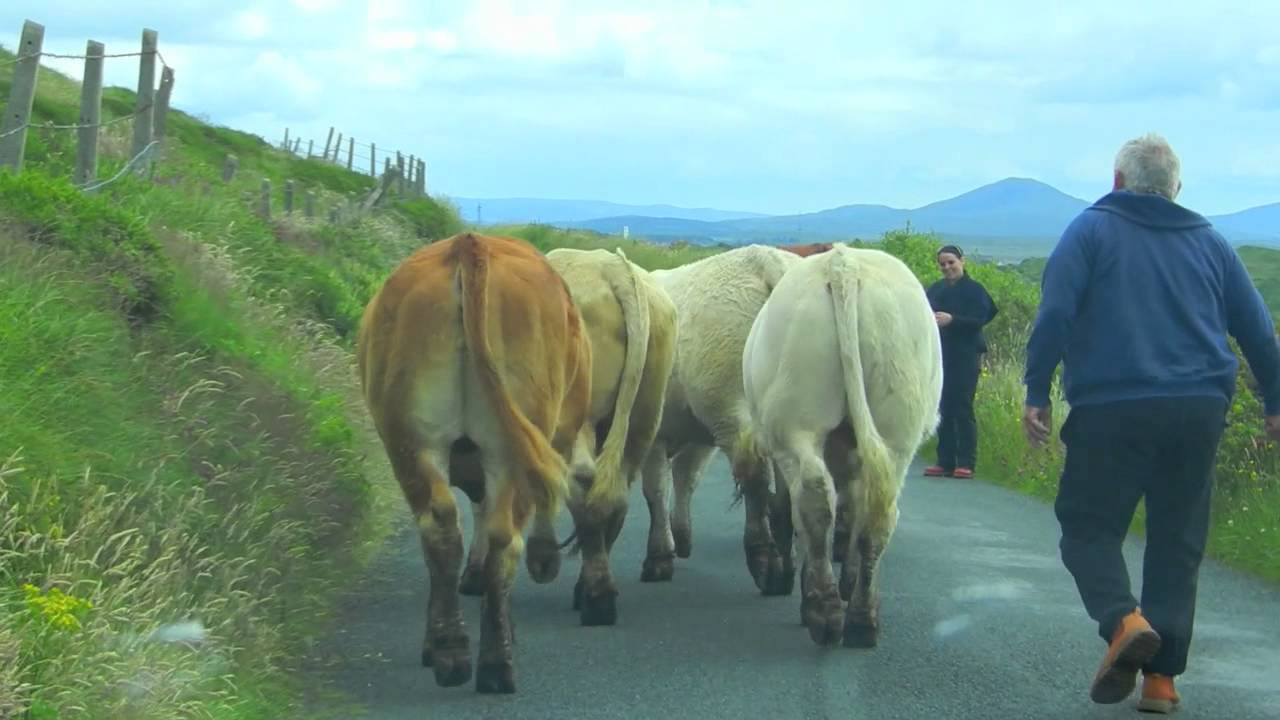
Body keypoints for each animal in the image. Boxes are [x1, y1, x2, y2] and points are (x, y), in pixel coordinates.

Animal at [356, 232, 594, 694]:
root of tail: (471, 245)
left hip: (414, 442)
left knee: (442, 526)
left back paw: (453, 651)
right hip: (513, 443)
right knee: (503, 537)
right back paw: (494, 661)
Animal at [639, 244, 803, 596]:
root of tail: (765, 260)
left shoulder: (655, 432)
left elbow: (655, 488)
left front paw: (658, 558)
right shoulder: (695, 435)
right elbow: (685, 478)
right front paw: (680, 538)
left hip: (729, 403)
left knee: (754, 475)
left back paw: (764, 561)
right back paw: (784, 567)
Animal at [742, 244, 943, 648]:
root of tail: (843, 263)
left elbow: (786, 509)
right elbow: (853, 507)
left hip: (795, 425)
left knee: (813, 500)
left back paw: (823, 611)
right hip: (896, 432)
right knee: (878, 514)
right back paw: (862, 617)